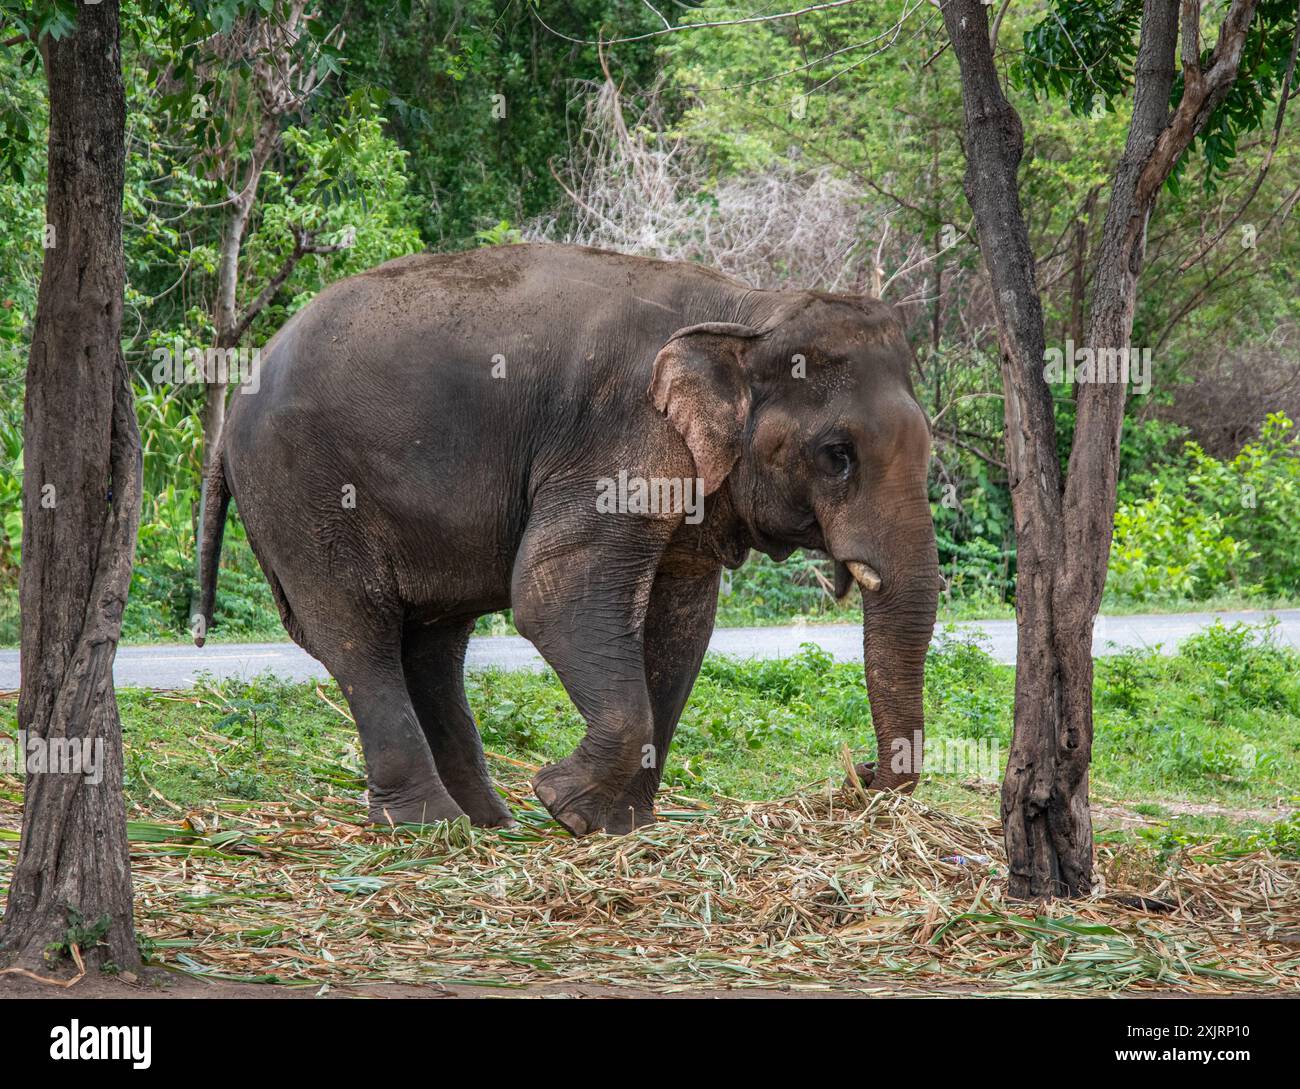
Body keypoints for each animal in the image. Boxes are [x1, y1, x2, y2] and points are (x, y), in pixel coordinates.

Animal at [196, 243, 940, 835]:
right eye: (838, 455)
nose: (860, 772)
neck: (748, 309)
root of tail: (237, 399)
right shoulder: (616, 437)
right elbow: (554, 590)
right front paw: (563, 804)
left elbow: (683, 623)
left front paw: (613, 825)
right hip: (302, 491)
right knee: (359, 631)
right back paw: (428, 825)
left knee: (432, 642)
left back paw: (488, 822)